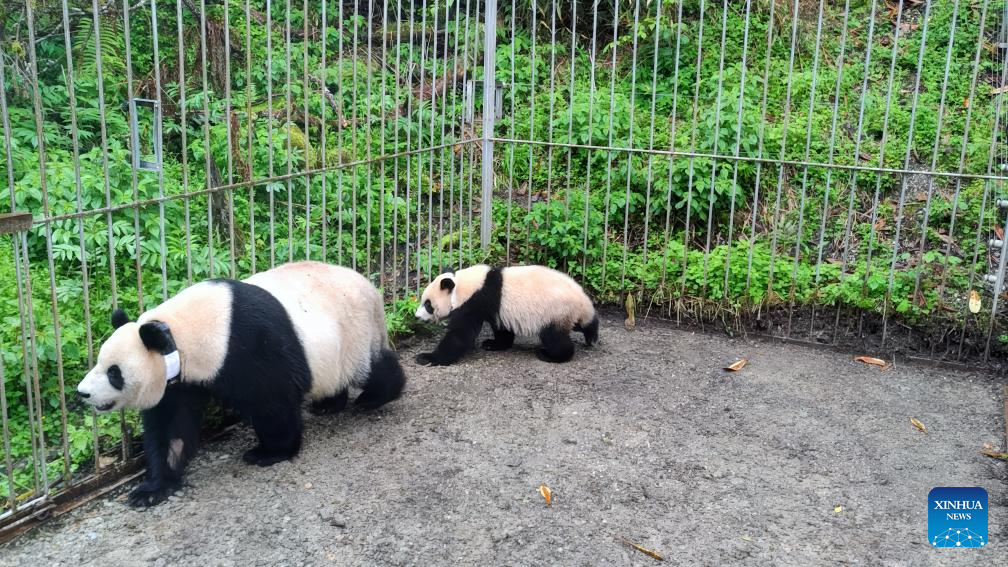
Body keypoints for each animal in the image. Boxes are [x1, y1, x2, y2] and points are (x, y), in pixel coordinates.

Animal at [76, 260, 406, 507]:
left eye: (114, 372)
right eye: (98, 362)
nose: (83, 393)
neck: (179, 331)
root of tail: (372, 290)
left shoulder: (244, 345)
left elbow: (272, 402)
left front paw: (268, 453)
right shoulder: (180, 379)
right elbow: (171, 427)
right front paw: (152, 489)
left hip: (352, 330)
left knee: (370, 368)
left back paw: (376, 396)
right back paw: (328, 405)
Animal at [414, 264, 598, 365]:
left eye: (428, 305)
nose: (416, 316)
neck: (462, 287)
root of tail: (580, 298)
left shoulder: (475, 301)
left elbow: (460, 335)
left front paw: (427, 357)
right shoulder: (496, 306)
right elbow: (501, 327)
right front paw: (493, 344)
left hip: (556, 311)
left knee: (554, 337)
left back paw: (550, 355)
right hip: (571, 312)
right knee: (585, 322)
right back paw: (592, 336)